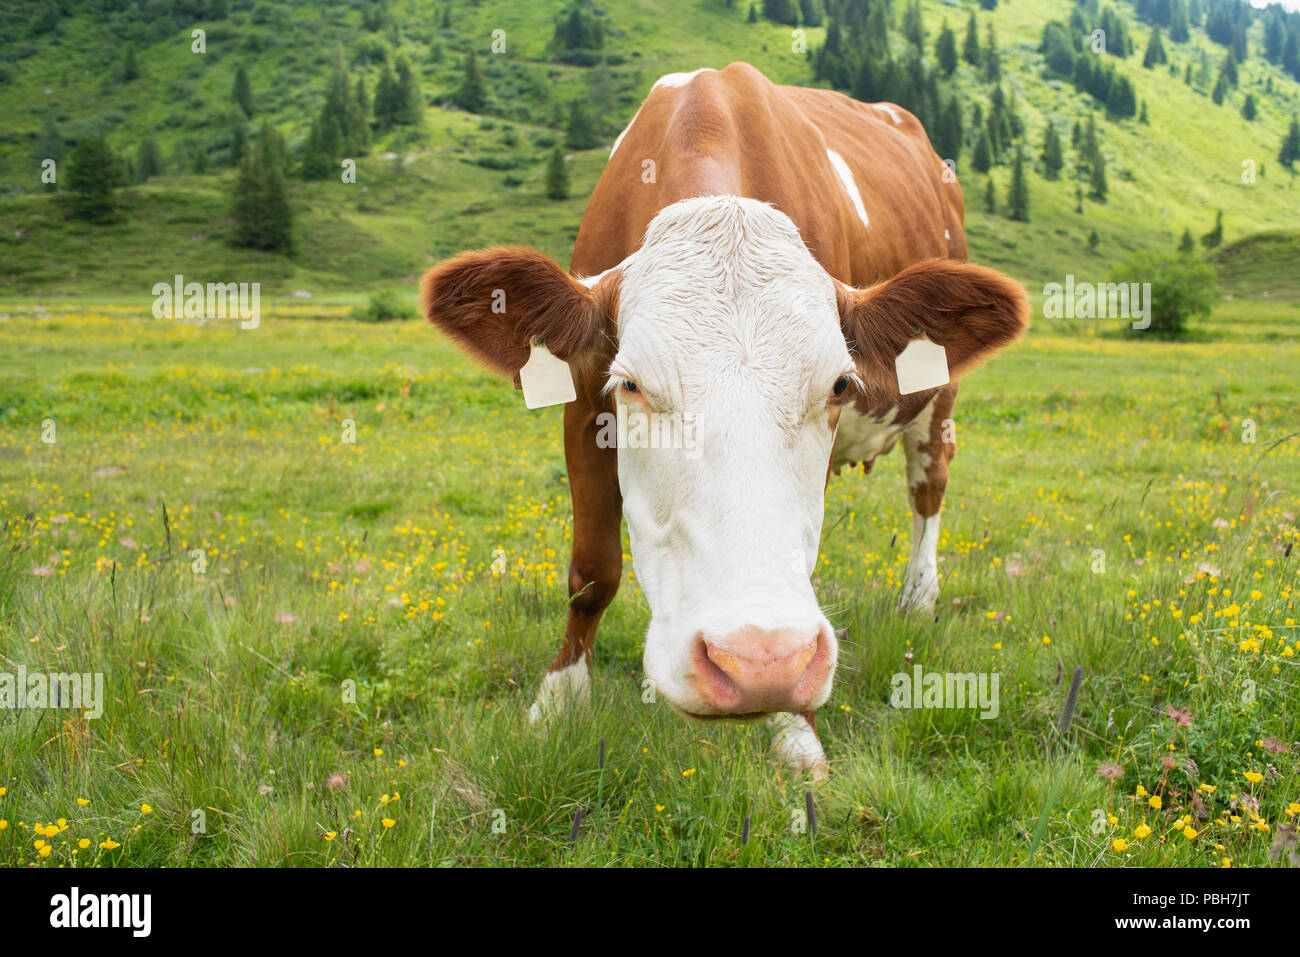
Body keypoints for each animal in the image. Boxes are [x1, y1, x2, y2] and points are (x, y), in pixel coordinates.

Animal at [422, 63, 1028, 776]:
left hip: (940, 395)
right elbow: (591, 571)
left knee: (928, 485)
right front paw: (558, 701)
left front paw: (796, 733)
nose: (760, 663)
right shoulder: (581, 402)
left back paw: (918, 597)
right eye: (631, 384)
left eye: (838, 385)